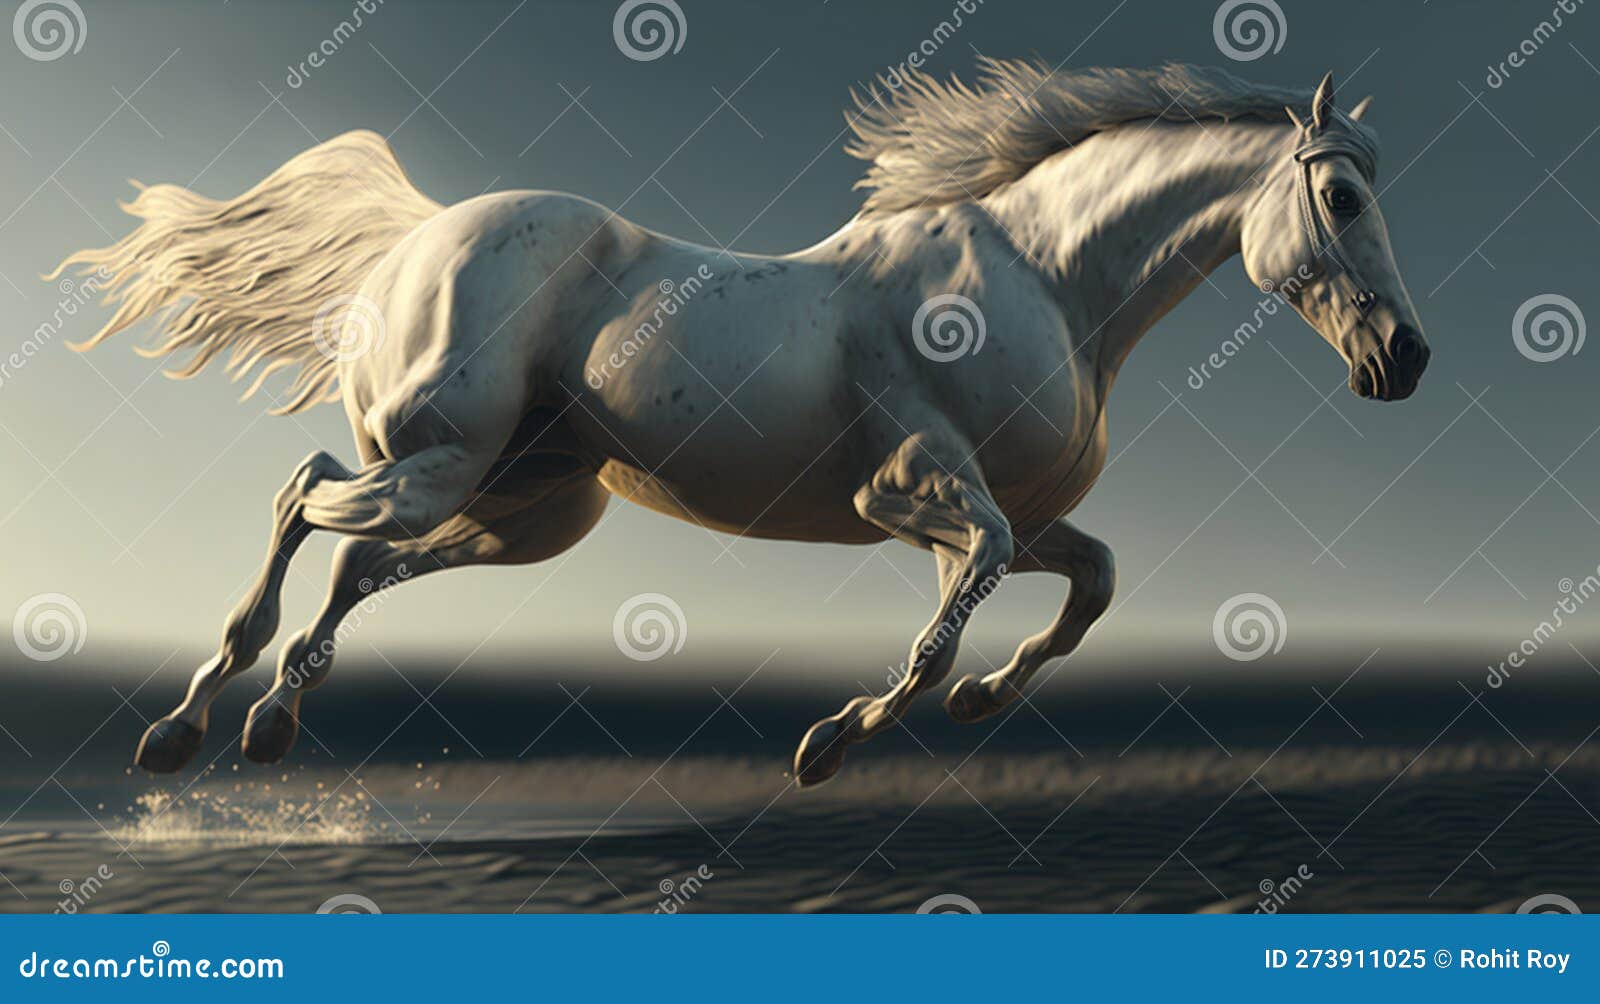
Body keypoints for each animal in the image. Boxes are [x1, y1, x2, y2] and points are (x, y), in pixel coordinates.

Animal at [55, 61, 1429, 788]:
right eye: (1342, 196)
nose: (1405, 360)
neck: (1043, 279)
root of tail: (427, 232)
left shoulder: (1019, 516)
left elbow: (1089, 582)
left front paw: (982, 703)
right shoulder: (910, 495)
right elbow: (957, 607)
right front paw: (832, 740)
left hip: (528, 507)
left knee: (356, 559)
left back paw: (273, 720)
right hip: (439, 461)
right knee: (301, 493)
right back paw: (182, 724)